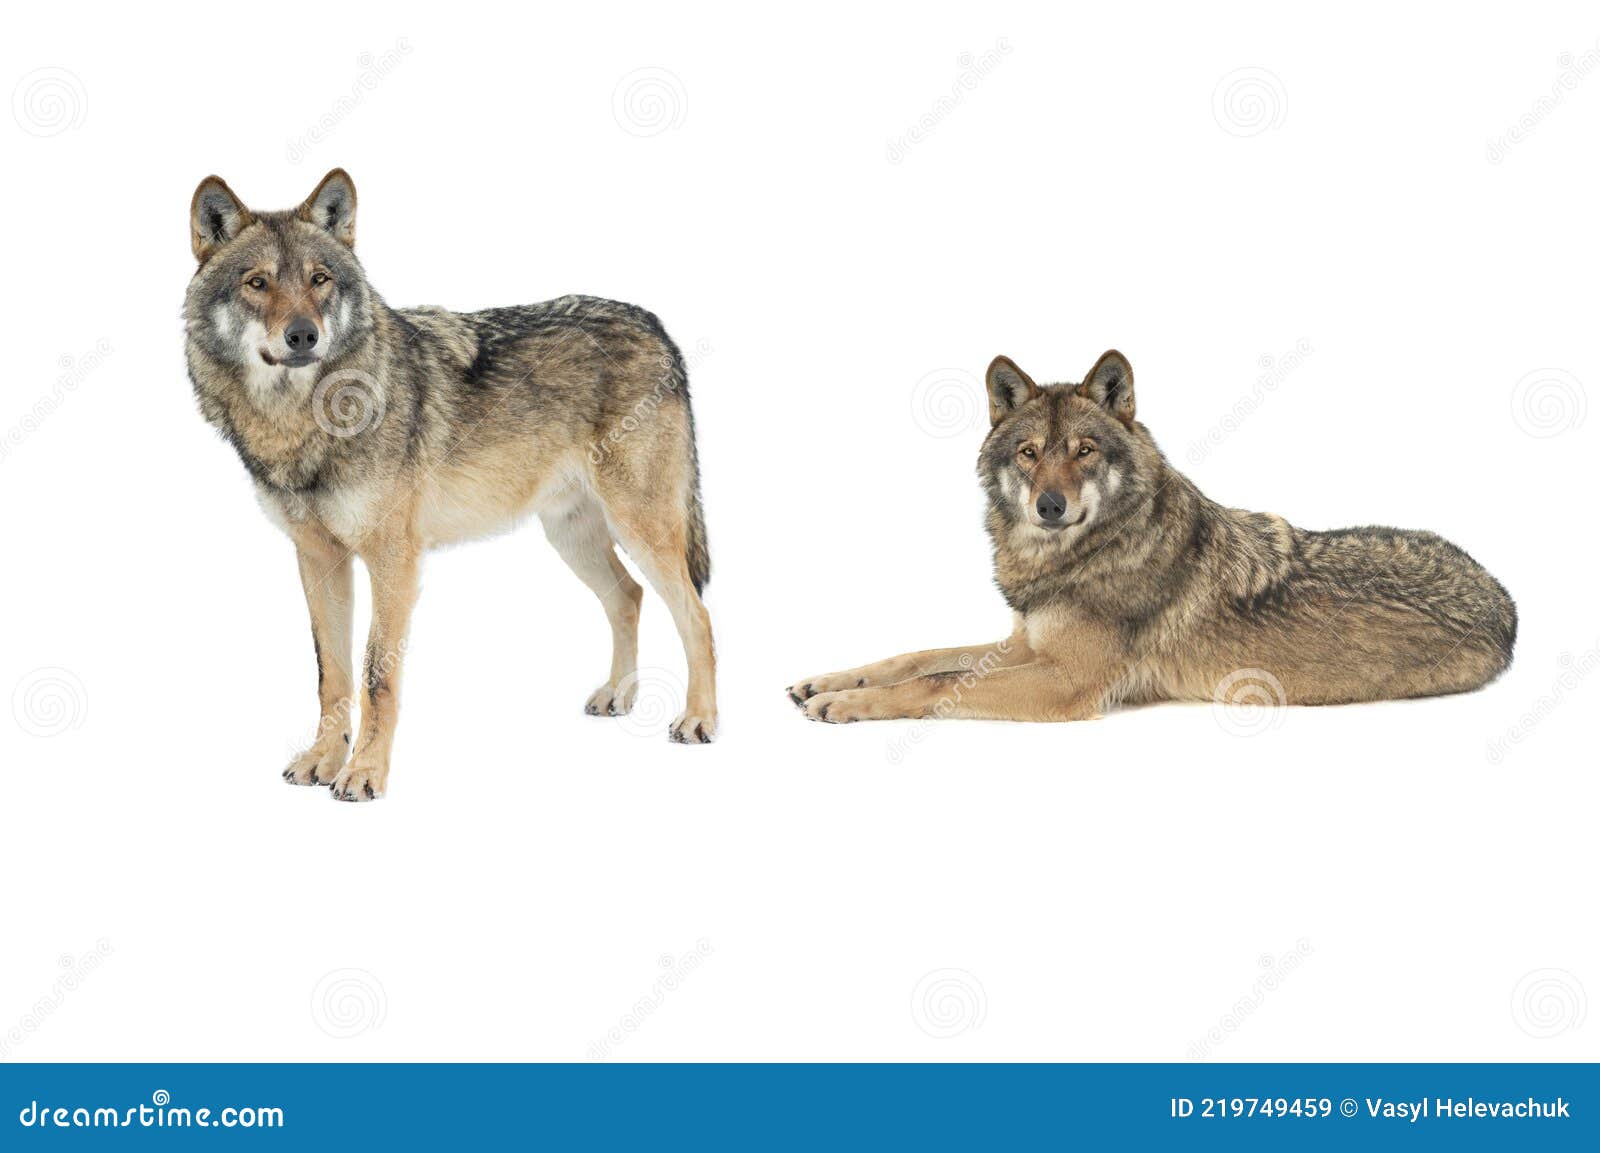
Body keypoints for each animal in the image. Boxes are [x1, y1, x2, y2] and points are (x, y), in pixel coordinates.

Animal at [185, 169, 718, 802]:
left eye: (319, 280)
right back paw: (618, 694)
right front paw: (322, 760)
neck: (303, 422)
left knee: (696, 615)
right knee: (629, 597)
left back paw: (700, 719)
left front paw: (365, 773)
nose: (303, 336)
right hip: (572, 539)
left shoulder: (393, 561)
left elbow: (376, 675)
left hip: (642, 531)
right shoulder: (318, 559)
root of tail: (656, 325)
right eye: (257, 283)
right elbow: (331, 674)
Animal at [788, 350, 1515, 723]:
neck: (1077, 557)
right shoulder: (1025, 644)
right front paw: (829, 681)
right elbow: (918, 656)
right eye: (1028, 452)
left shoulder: (1066, 682)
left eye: (1083, 451)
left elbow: (938, 682)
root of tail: (1506, 600)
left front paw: (846, 704)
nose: (1049, 506)